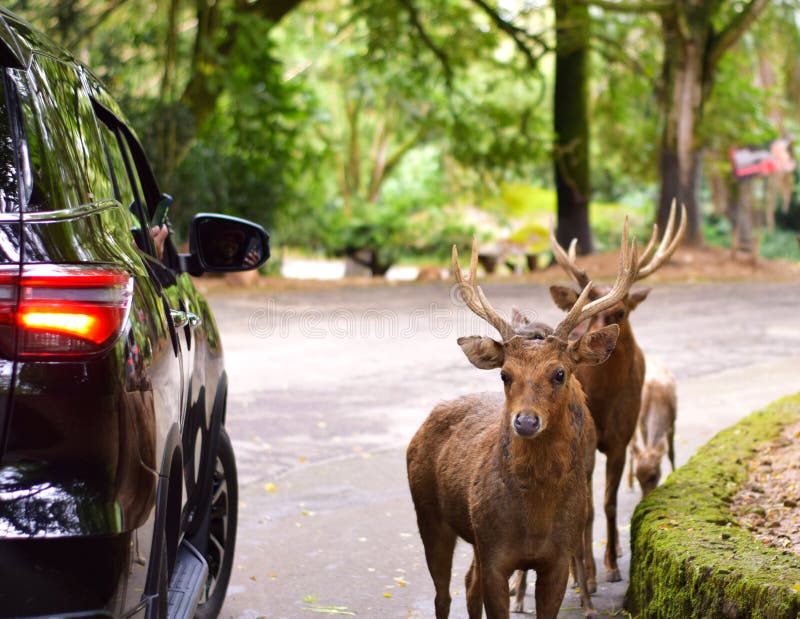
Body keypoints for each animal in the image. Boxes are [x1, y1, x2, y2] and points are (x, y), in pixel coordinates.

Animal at [407, 227, 639, 619]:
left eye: (560, 373)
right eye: (505, 374)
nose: (526, 421)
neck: (535, 520)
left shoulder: (557, 557)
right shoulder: (494, 553)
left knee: (467, 584)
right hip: (428, 514)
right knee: (444, 595)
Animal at [628, 356, 677, 497]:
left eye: (653, 476)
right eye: (638, 477)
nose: (645, 498)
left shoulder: (672, 422)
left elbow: (671, 453)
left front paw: (674, 474)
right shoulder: (642, 423)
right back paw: (629, 484)